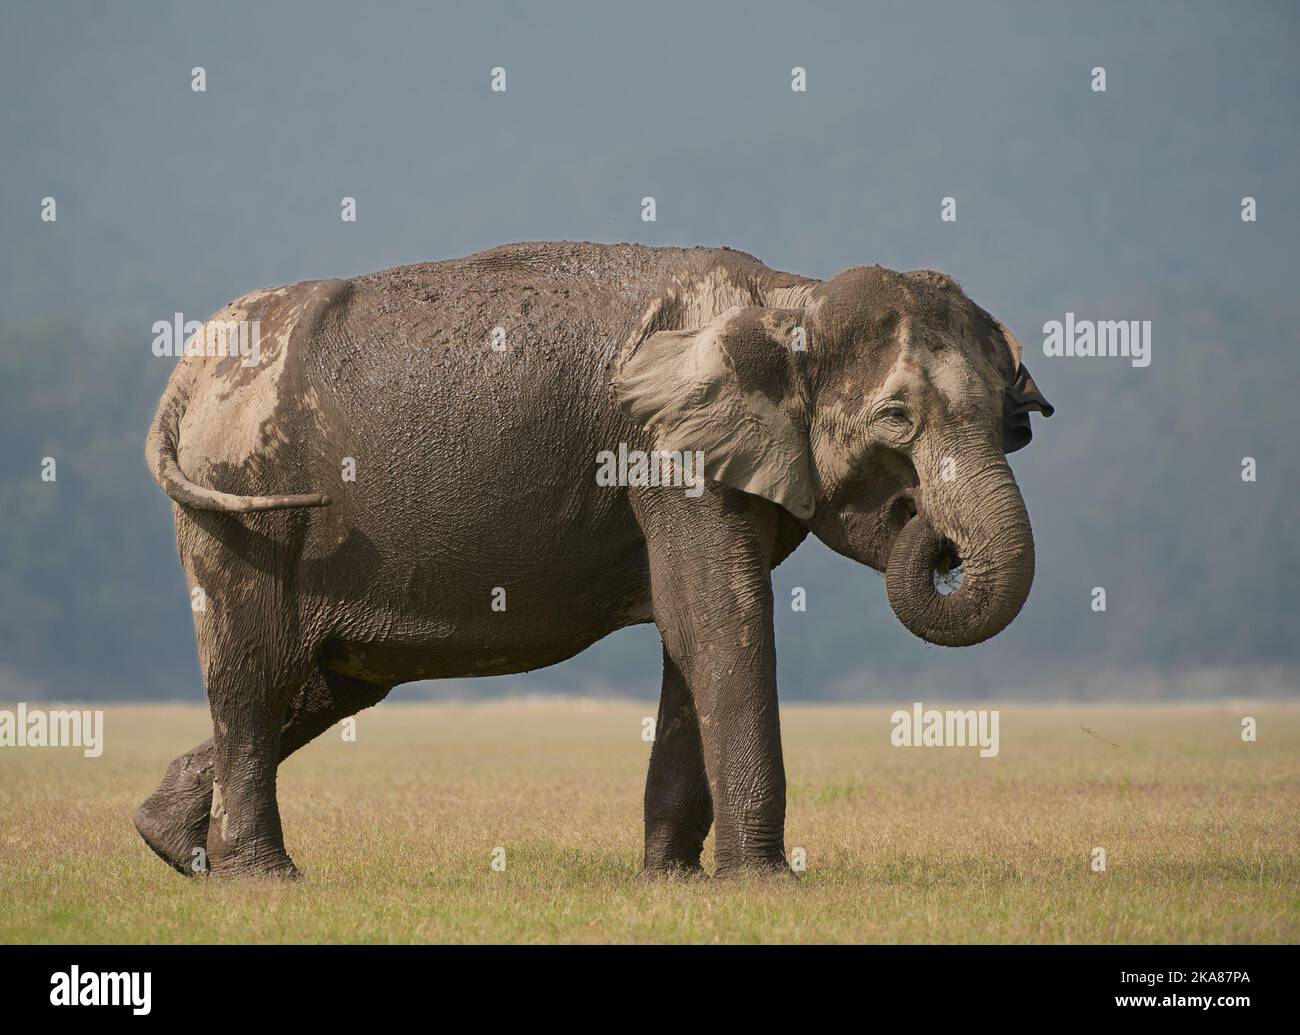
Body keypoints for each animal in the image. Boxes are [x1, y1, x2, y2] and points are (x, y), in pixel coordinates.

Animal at [134, 241, 1052, 880]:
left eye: (1013, 422)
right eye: (895, 417)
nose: (932, 536)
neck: (790, 298)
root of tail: (186, 375)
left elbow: (691, 634)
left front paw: (673, 882)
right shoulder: (664, 453)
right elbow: (719, 619)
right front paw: (763, 883)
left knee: (328, 679)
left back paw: (174, 845)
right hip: (240, 498)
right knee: (256, 669)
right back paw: (263, 879)